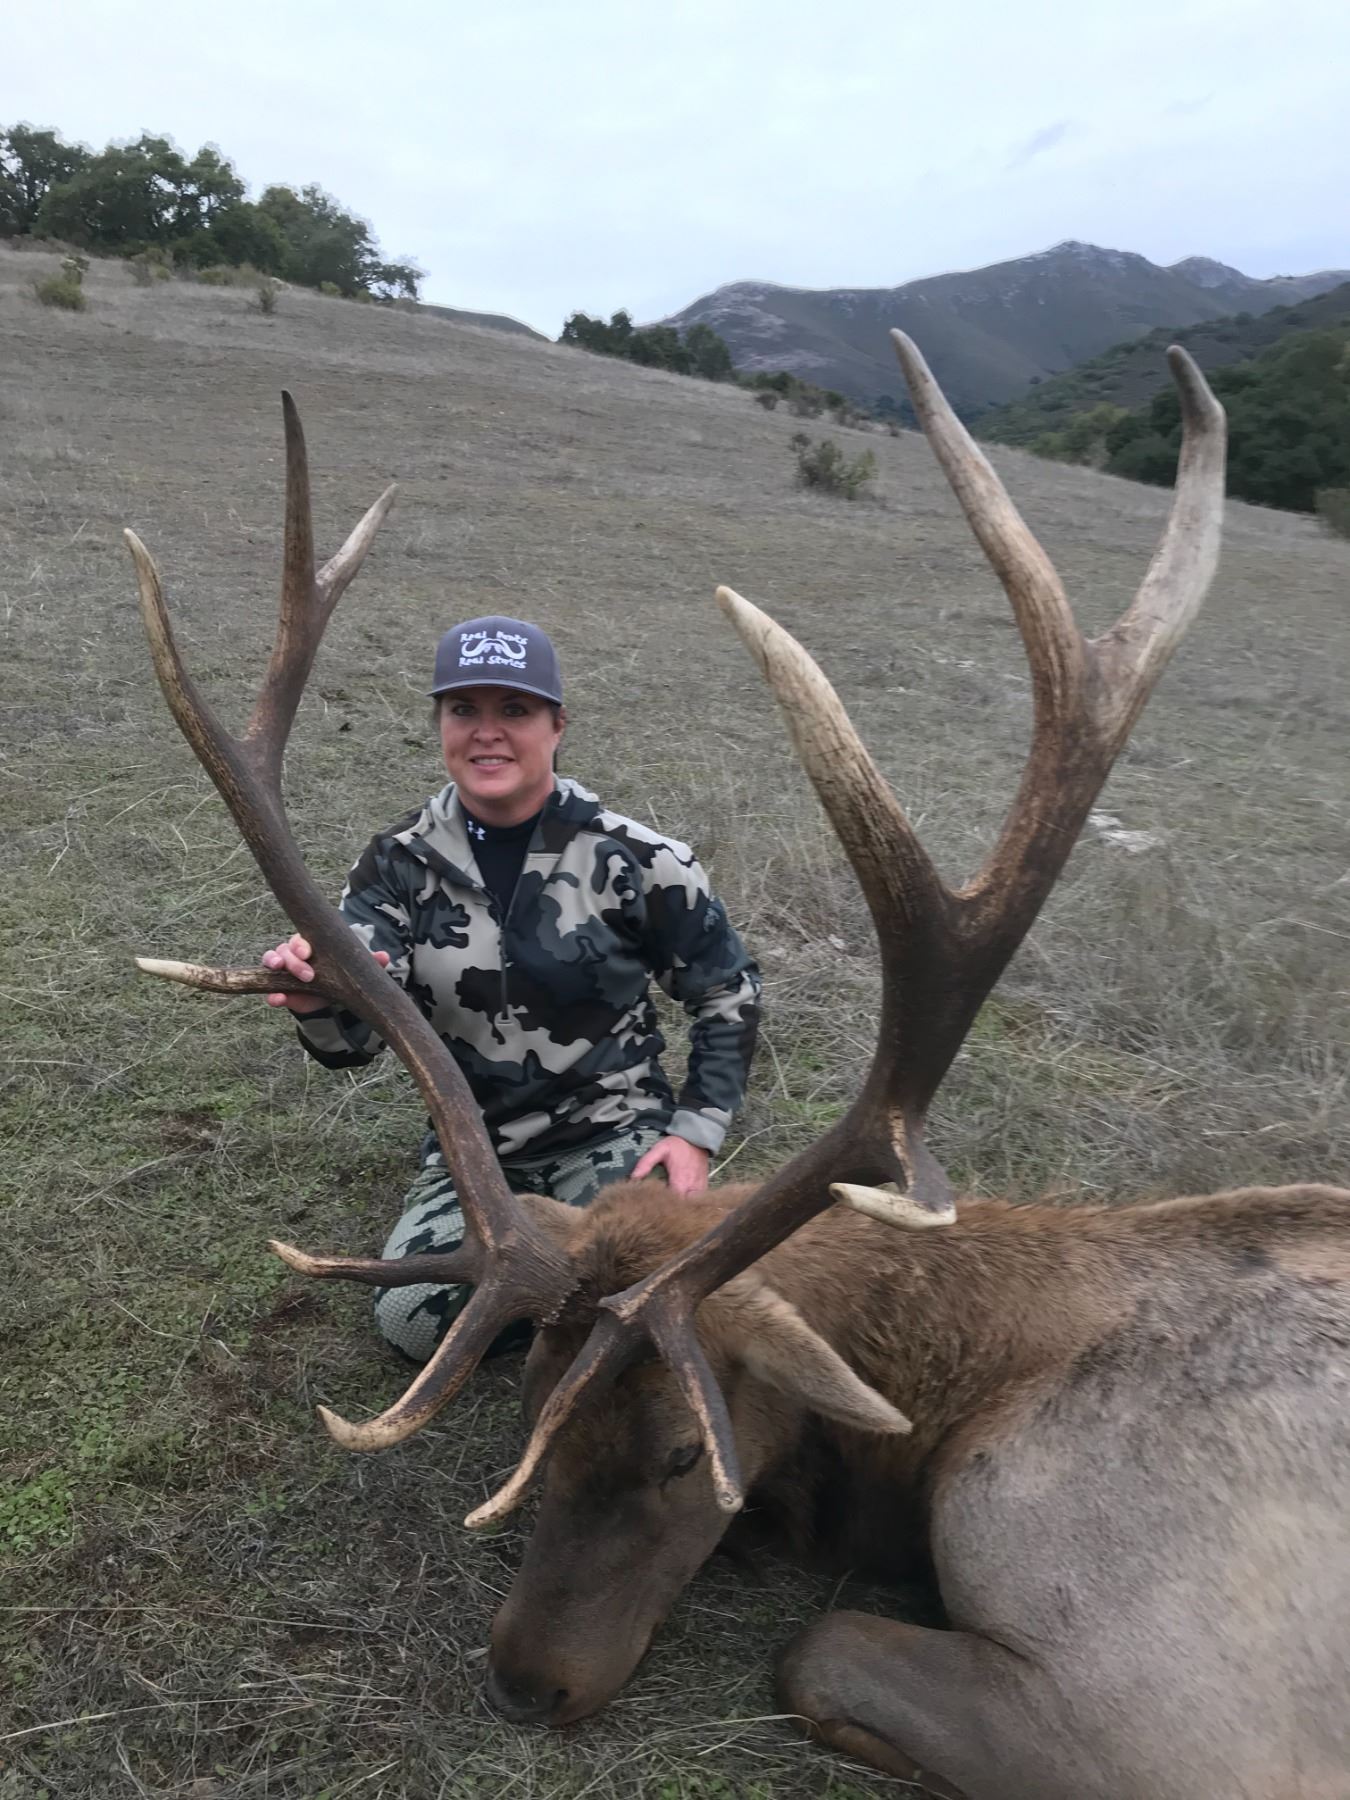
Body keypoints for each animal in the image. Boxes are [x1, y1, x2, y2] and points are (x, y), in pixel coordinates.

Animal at [128, 335, 1350, 1800]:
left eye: (678, 1454)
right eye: (534, 1409)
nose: (522, 1685)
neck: (945, 1410)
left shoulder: (1175, 1710)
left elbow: (813, 1649)